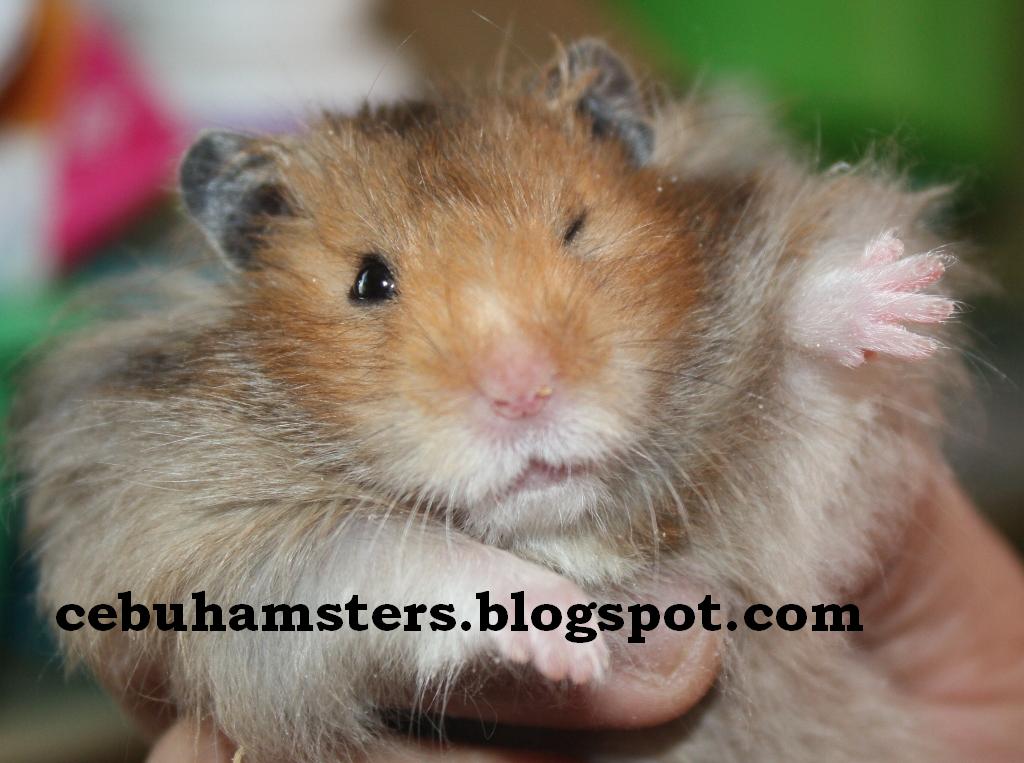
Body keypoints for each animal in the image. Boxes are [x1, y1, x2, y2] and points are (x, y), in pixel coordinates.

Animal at [11, 39, 964, 762]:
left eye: (577, 230)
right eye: (370, 281)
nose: (522, 392)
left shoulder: (800, 518)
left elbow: (801, 359)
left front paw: (906, 295)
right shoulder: (216, 553)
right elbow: (412, 557)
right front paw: (572, 643)